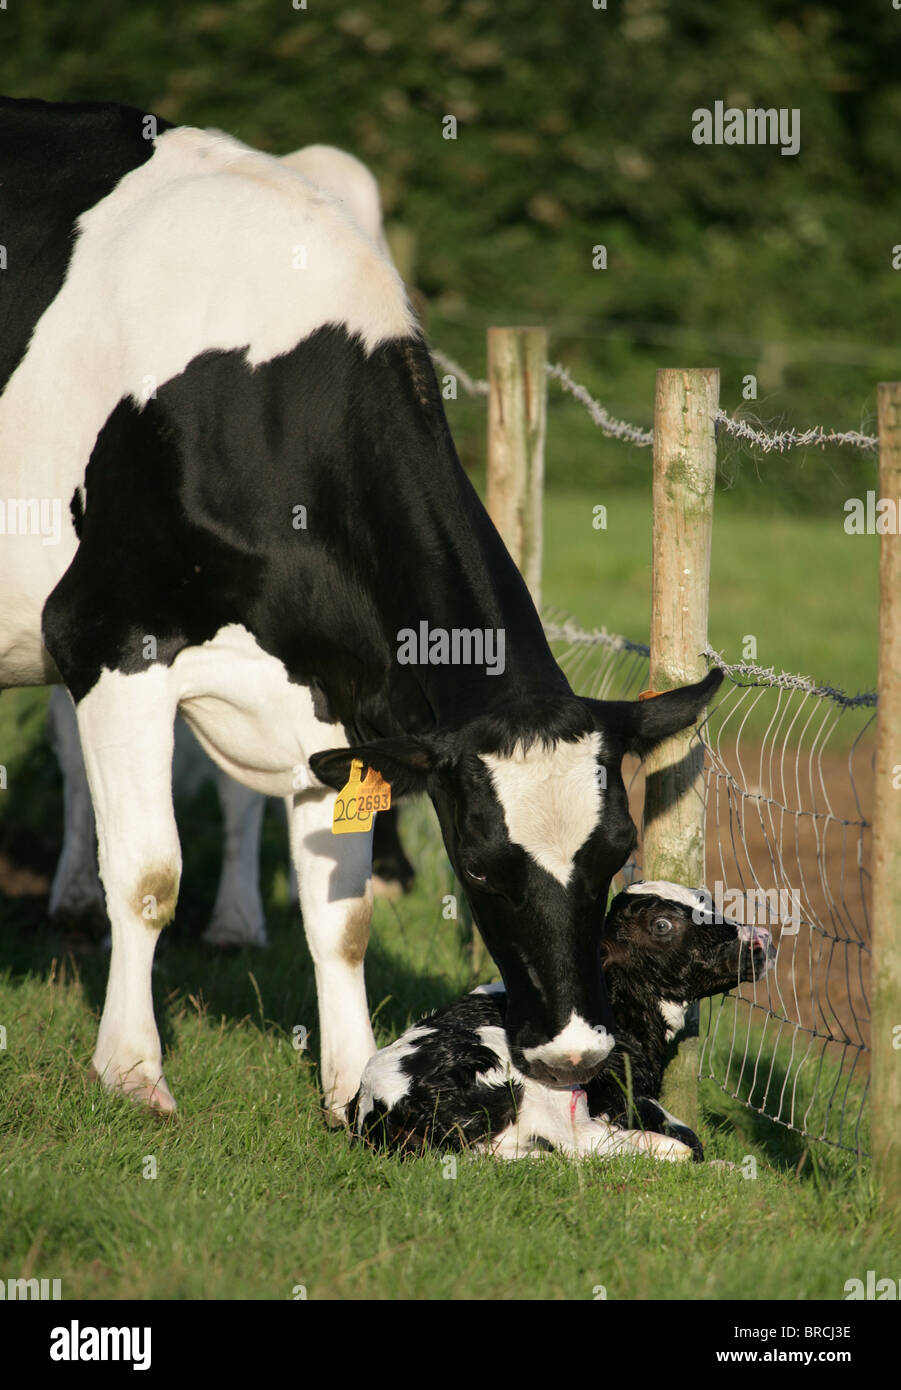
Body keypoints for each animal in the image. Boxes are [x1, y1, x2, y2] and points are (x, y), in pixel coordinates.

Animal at [0, 96, 721, 1127]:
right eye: (477, 861)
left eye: (618, 850)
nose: (576, 1053)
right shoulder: (104, 635)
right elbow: (145, 876)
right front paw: (134, 1072)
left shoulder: (329, 704)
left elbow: (341, 917)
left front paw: (349, 1084)